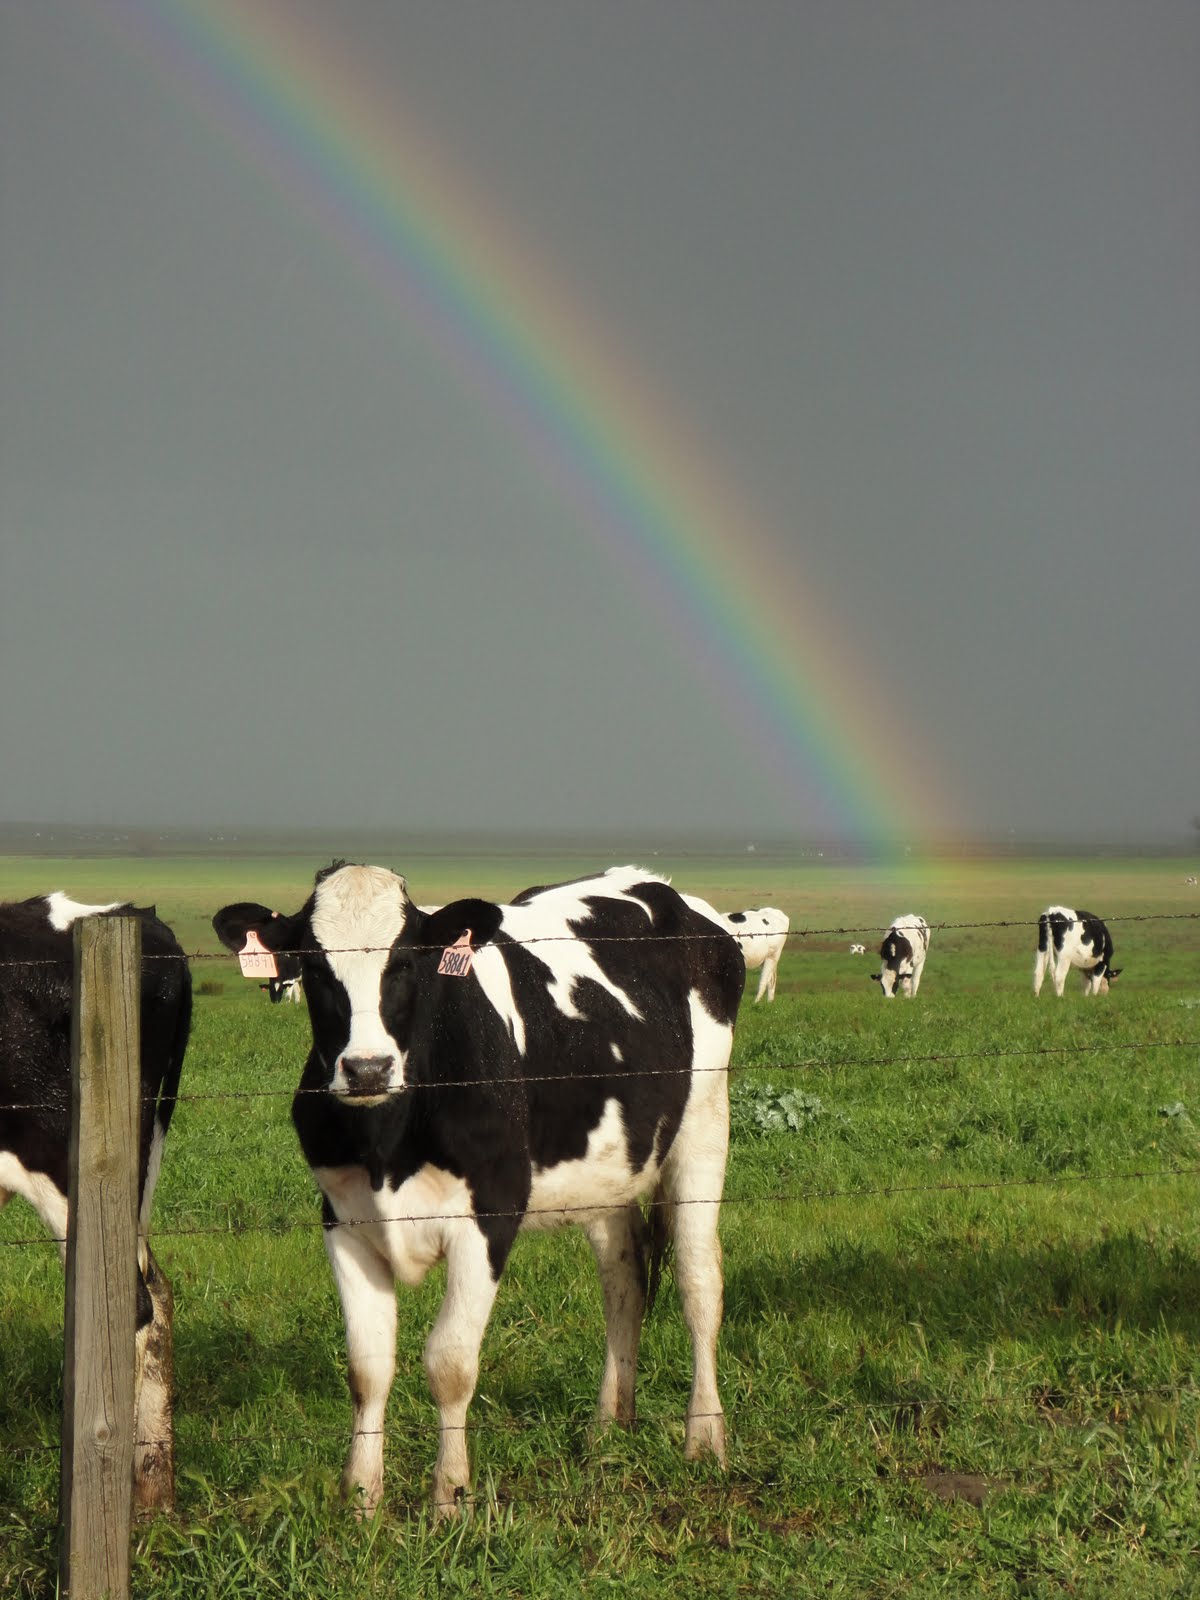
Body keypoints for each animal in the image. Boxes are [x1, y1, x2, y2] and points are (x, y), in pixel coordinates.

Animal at [212, 863, 743, 1516]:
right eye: (312, 968)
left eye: (407, 962)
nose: (366, 1069)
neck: (388, 1141)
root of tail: (659, 886)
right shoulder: (343, 1221)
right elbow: (367, 1366)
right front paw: (361, 1498)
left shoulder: (489, 1217)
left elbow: (450, 1363)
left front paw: (449, 1497)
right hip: (606, 1173)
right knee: (625, 1282)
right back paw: (607, 1425)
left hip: (704, 1126)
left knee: (699, 1283)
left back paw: (705, 1439)